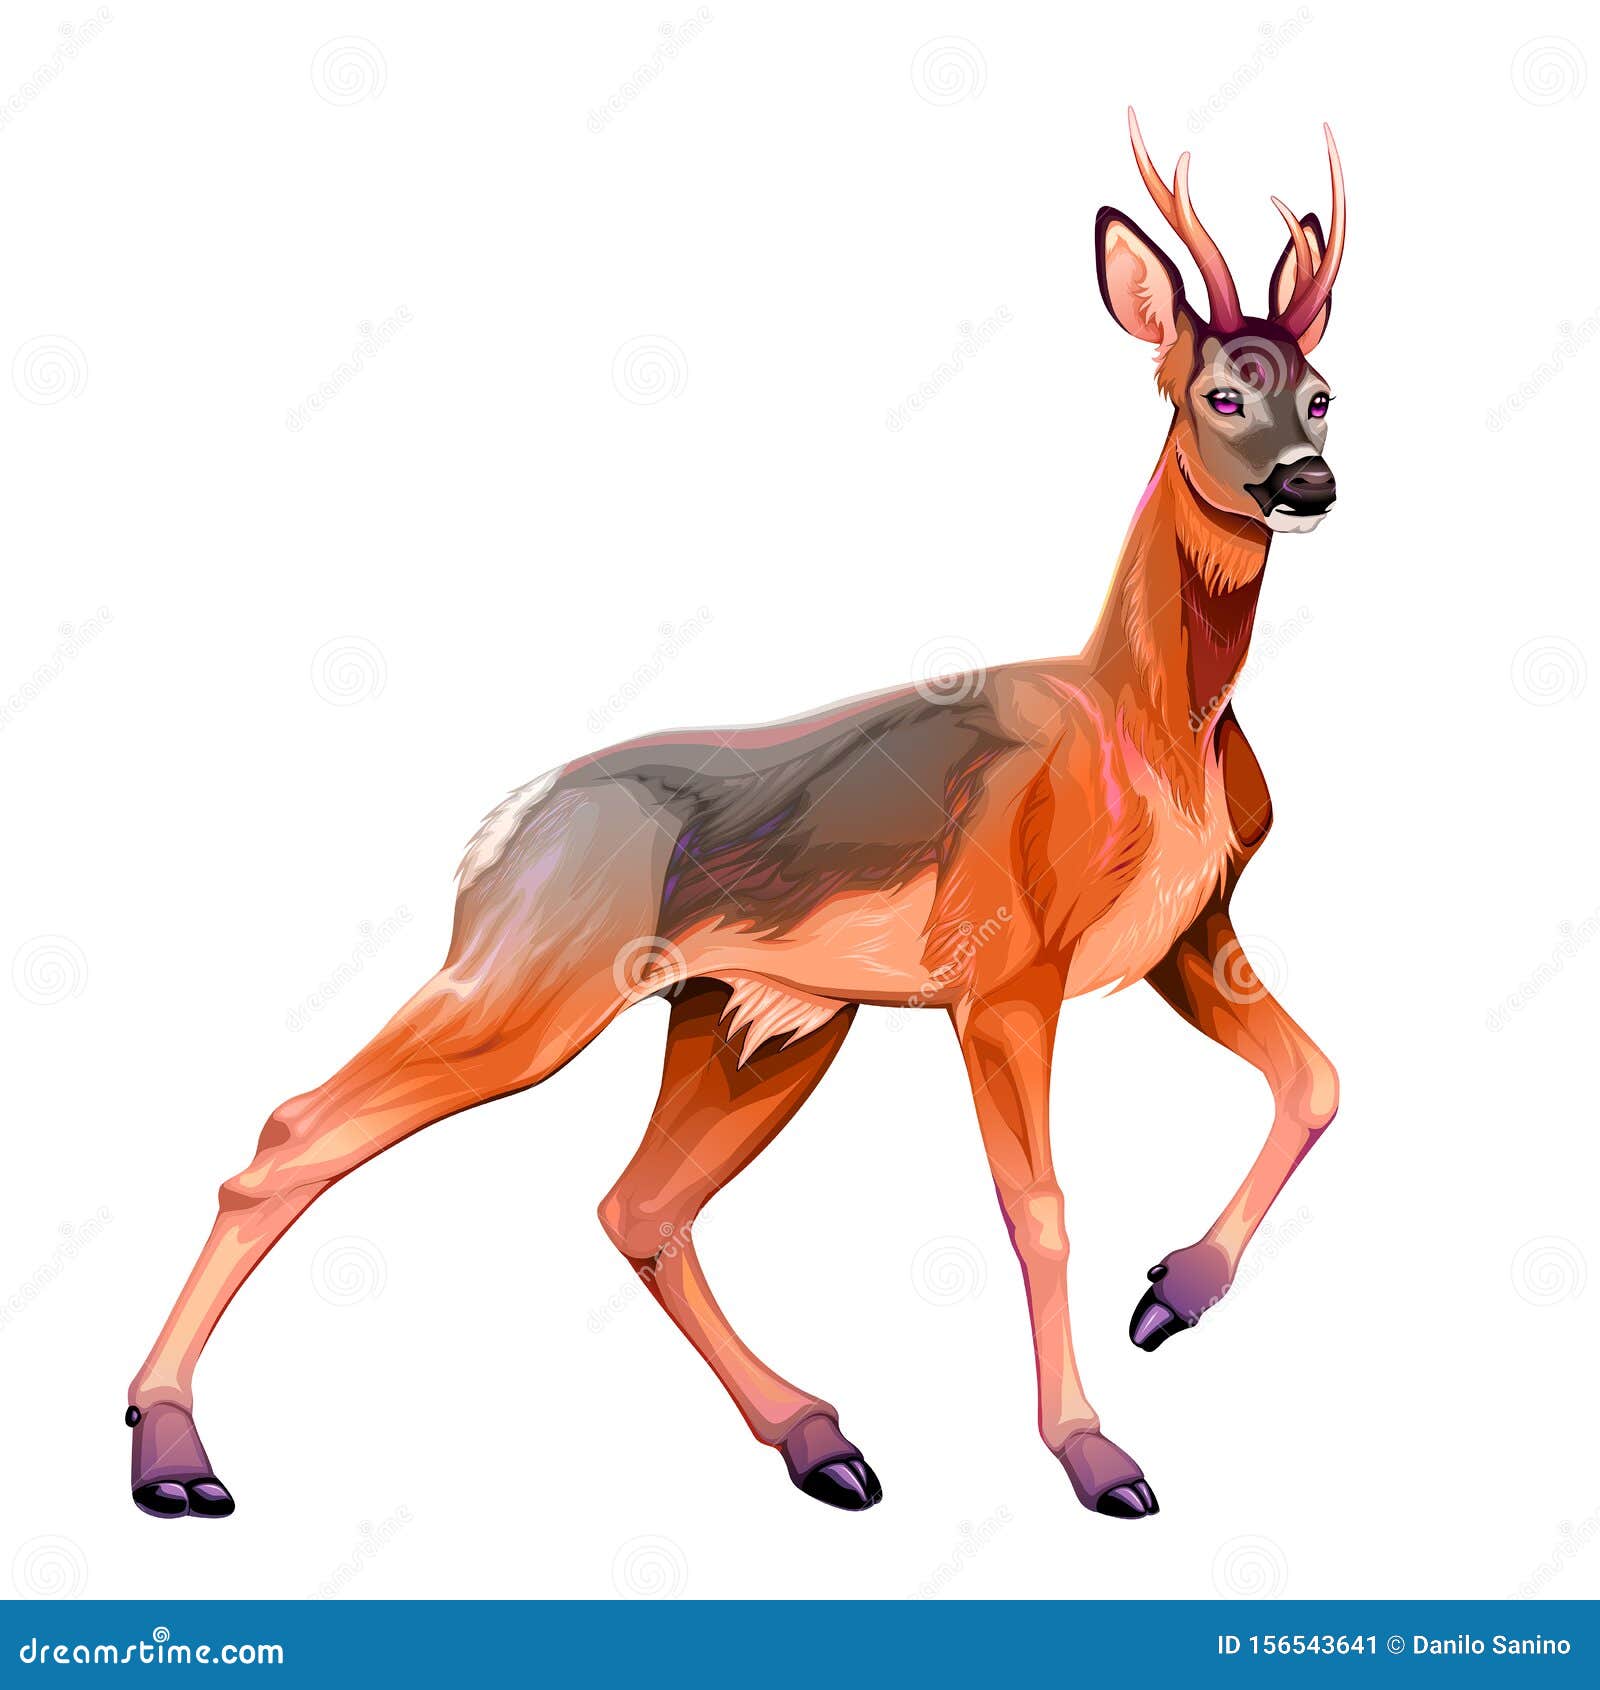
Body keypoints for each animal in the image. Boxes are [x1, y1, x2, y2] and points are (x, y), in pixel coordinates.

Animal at [127, 110, 1344, 1523]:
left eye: (1321, 389)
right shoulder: (1003, 971)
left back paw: (824, 1440)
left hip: (752, 1017)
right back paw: (171, 1455)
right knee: (296, 1131)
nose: (1308, 480)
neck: (1143, 729)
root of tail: (504, 831)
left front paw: (1170, 1297)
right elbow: (1036, 1204)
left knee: (637, 1204)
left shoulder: (1190, 933)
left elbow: (1315, 1078)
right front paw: (1098, 1455)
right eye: (1217, 395)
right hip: (536, 982)